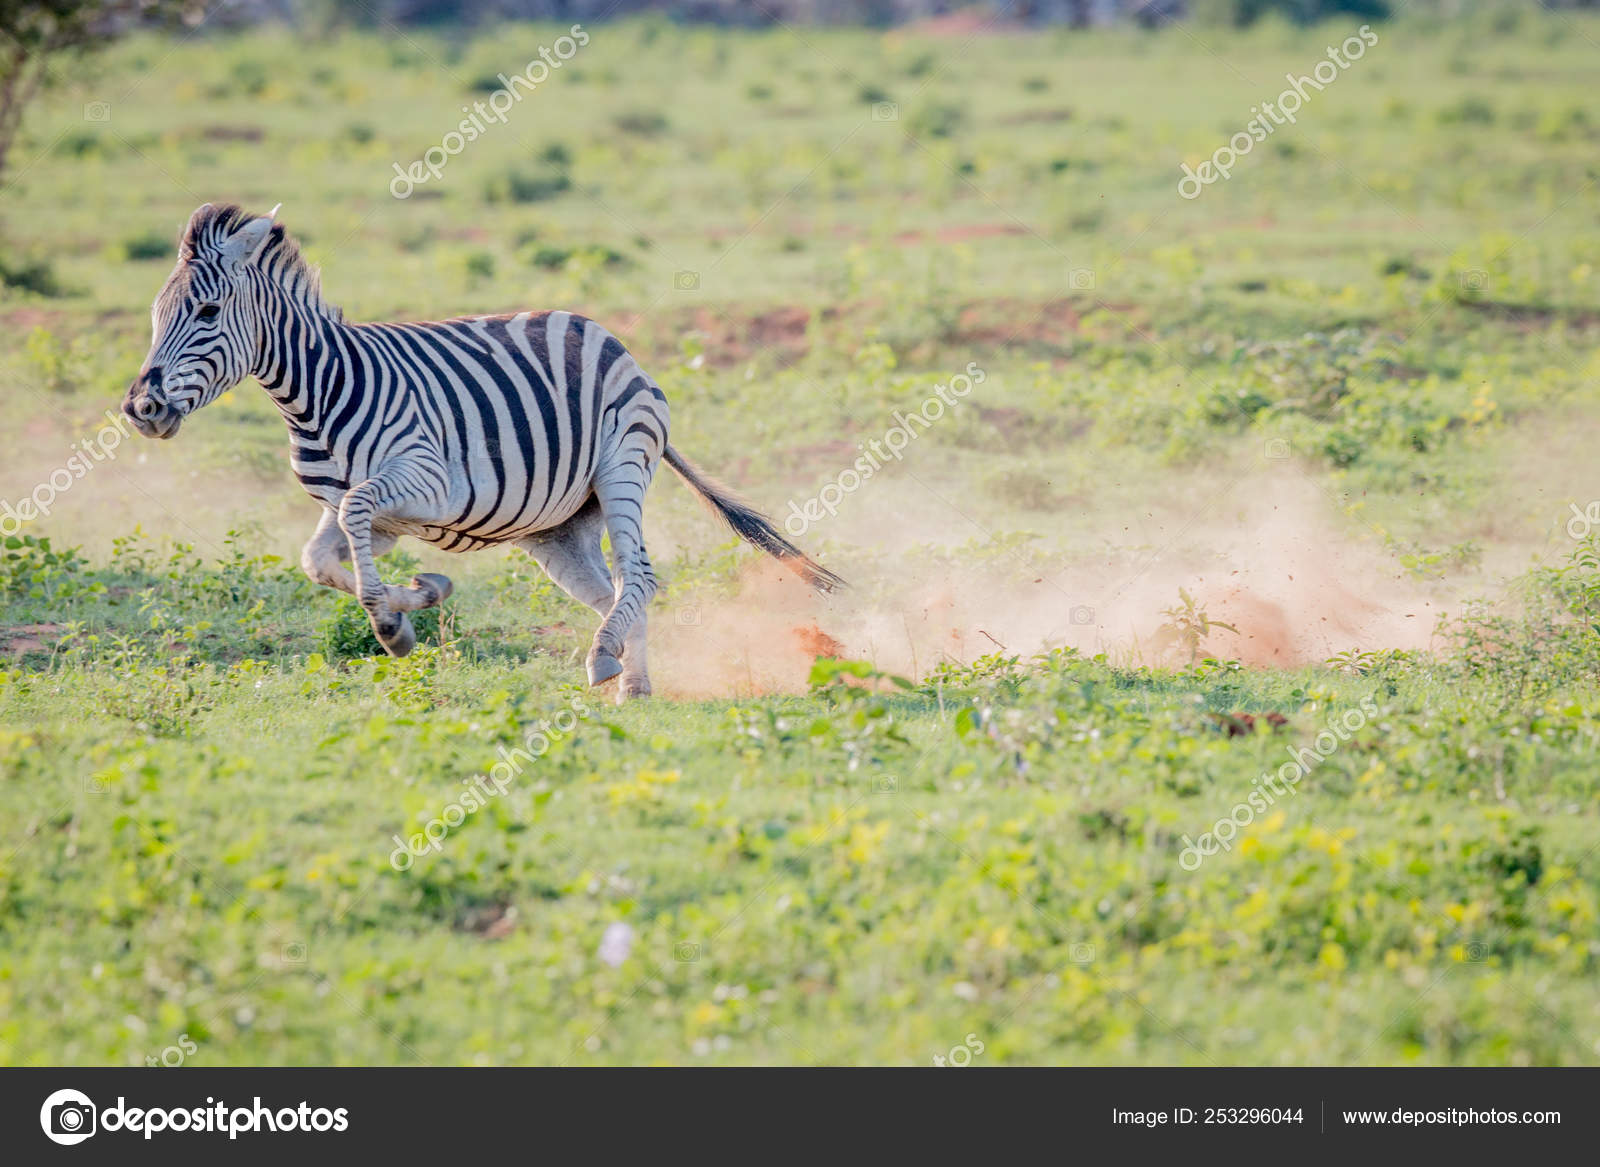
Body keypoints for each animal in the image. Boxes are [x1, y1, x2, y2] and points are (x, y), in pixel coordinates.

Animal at [123, 203, 841, 699]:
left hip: (621, 466)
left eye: (208, 312)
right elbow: (322, 561)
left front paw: (393, 626)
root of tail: (607, 336)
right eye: (156, 313)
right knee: (611, 589)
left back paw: (604, 659)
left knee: (640, 575)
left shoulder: (424, 480)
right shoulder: (369, 516)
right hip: (556, 528)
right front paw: (419, 596)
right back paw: (632, 681)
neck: (320, 392)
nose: (140, 408)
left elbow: (354, 522)